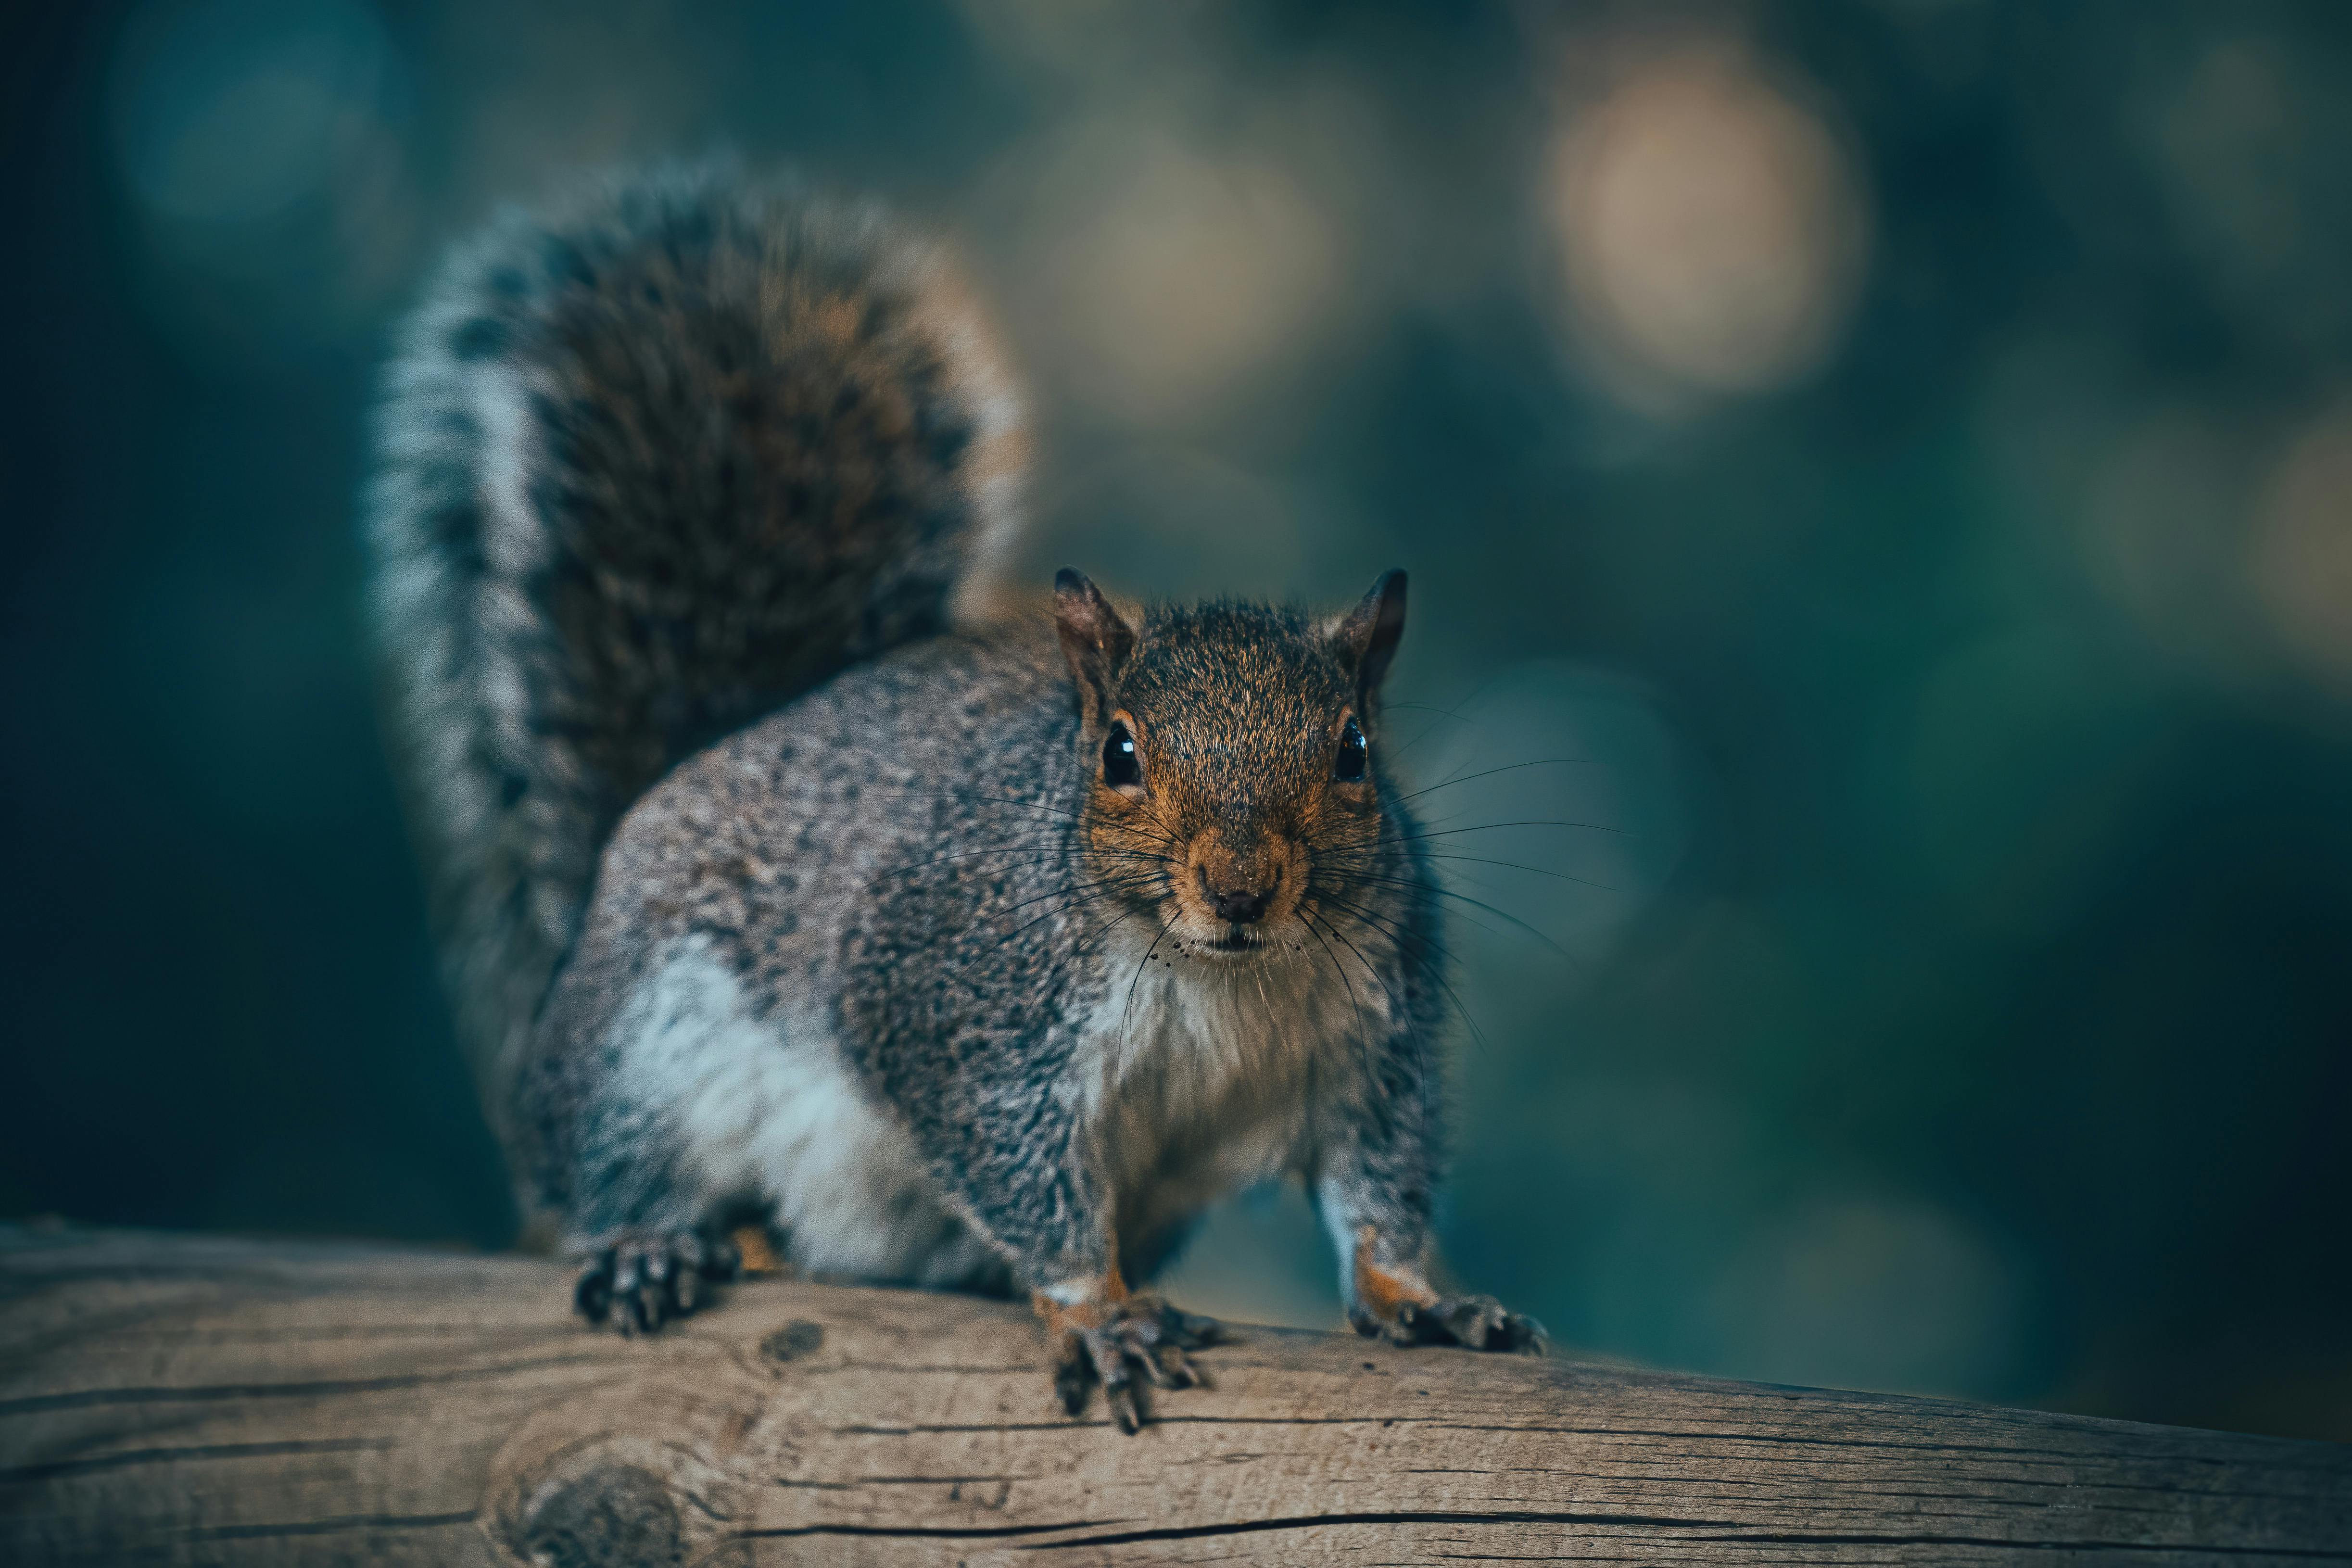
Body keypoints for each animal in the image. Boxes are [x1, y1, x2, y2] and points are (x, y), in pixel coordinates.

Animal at [365, 161, 1542, 1431]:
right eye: (1119, 753)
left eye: (1355, 751)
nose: (1240, 887)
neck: (1216, 977)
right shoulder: (955, 1010)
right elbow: (1023, 1175)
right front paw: (1097, 1310)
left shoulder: (1374, 1047)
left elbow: (1377, 1189)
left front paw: (1421, 1299)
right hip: (637, 1046)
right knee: (603, 1168)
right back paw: (650, 1243)